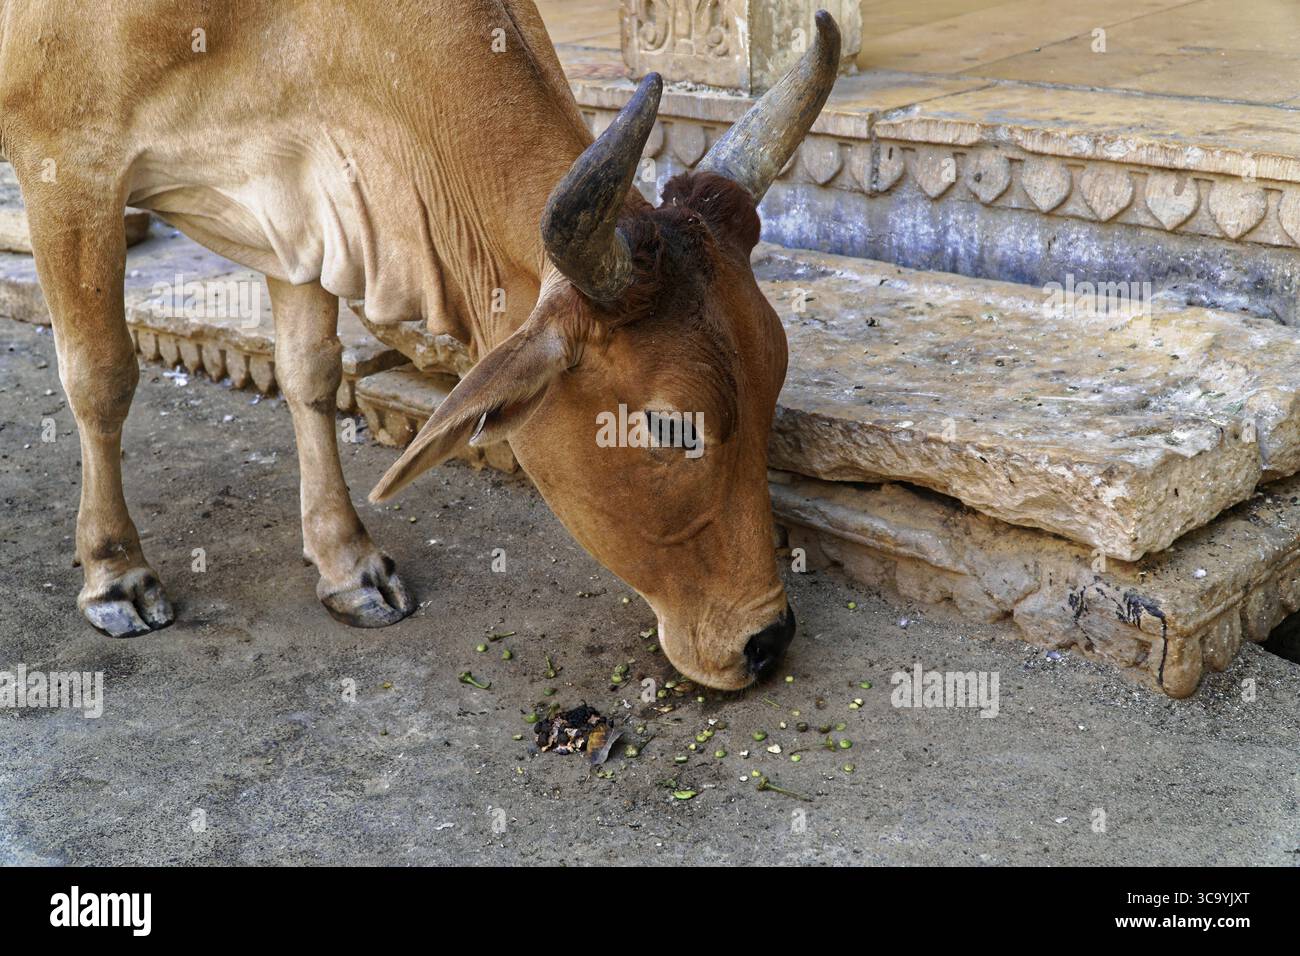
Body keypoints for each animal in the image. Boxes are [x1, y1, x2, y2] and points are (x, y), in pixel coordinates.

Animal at [0, 1, 840, 690]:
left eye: (774, 384)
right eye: (671, 426)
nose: (769, 641)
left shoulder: (298, 202)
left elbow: (310, 373)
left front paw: (347, 564)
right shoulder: (67, 165)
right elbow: (101, 377)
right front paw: (114, 572)